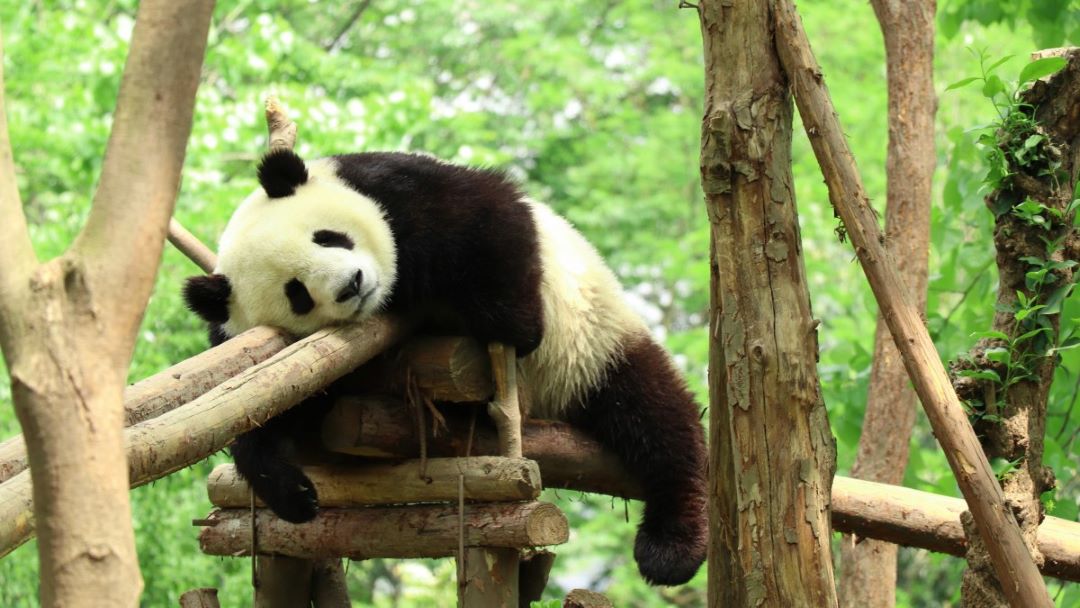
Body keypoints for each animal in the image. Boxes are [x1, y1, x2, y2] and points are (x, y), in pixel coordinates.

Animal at [183, 148, 707, 586]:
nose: (352, 284)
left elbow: (488, 217)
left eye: (328, 238)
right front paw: (294, 493)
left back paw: (671, 549)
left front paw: (516, 324)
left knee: (658, 423)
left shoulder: (396, 189)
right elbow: (260, 412)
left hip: (592, 342)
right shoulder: (251, 345)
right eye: (297, 293)